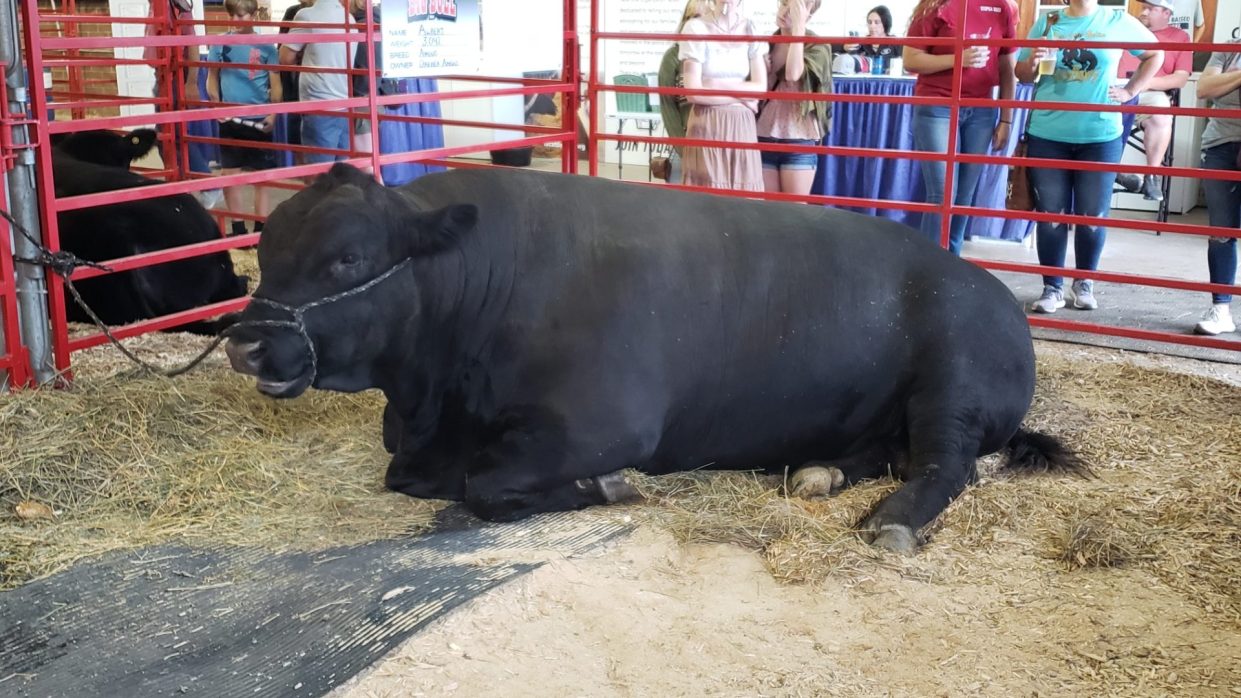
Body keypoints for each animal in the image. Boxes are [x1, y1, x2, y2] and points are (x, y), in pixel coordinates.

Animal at [225, 164, 1083, 552]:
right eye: (263, 249)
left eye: (347, 258)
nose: (244, 342)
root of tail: (990, 289)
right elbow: (411, 476)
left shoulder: (603, 423)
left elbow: (486, 484)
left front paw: (605, 488)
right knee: (884, 451)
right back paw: (817, 472)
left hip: (953, 382)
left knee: (945, 465)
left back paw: (894, 522)